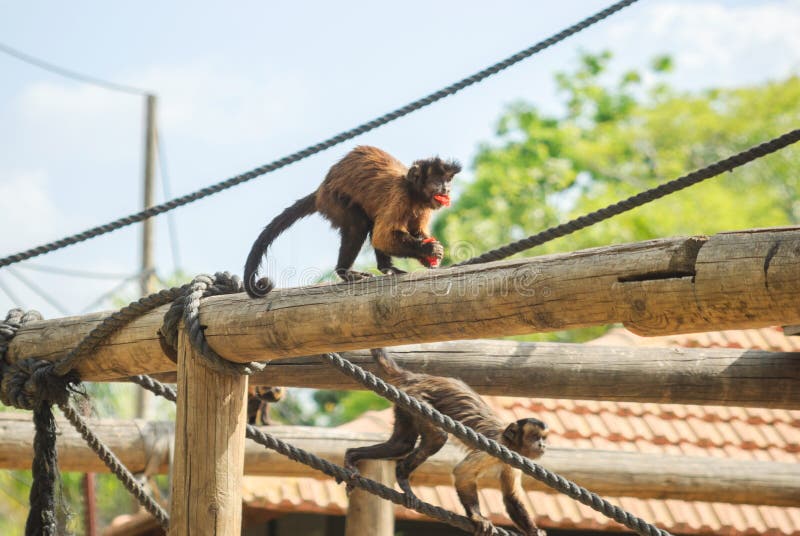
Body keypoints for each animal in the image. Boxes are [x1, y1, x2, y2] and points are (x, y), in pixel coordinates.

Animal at [244, 146, 461, 298]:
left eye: (448, 181)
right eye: (437, 182)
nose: (446, 189)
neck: (414, 194)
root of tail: (322, 189)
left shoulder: (424, 207)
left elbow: (412, 233)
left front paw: (432, 253)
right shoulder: (400, 196)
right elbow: (382, 237)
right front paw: (428, 250)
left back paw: (386, 268)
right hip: (334, 200)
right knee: (359, 225)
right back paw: (345, 272)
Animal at [344, 349, 548, 536]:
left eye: (543, 438)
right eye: (534, 437)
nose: (542, 445)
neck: (508, 441)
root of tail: (419, 378)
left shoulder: (512, 460)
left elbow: (511, 497)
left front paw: (533, 531)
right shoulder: (496, 449)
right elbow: (463, 472)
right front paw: (477, 516)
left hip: (405, 404)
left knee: (402, 444)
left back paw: (353, 456)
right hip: (417, 397)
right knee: (437, 438)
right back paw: (401, 474)